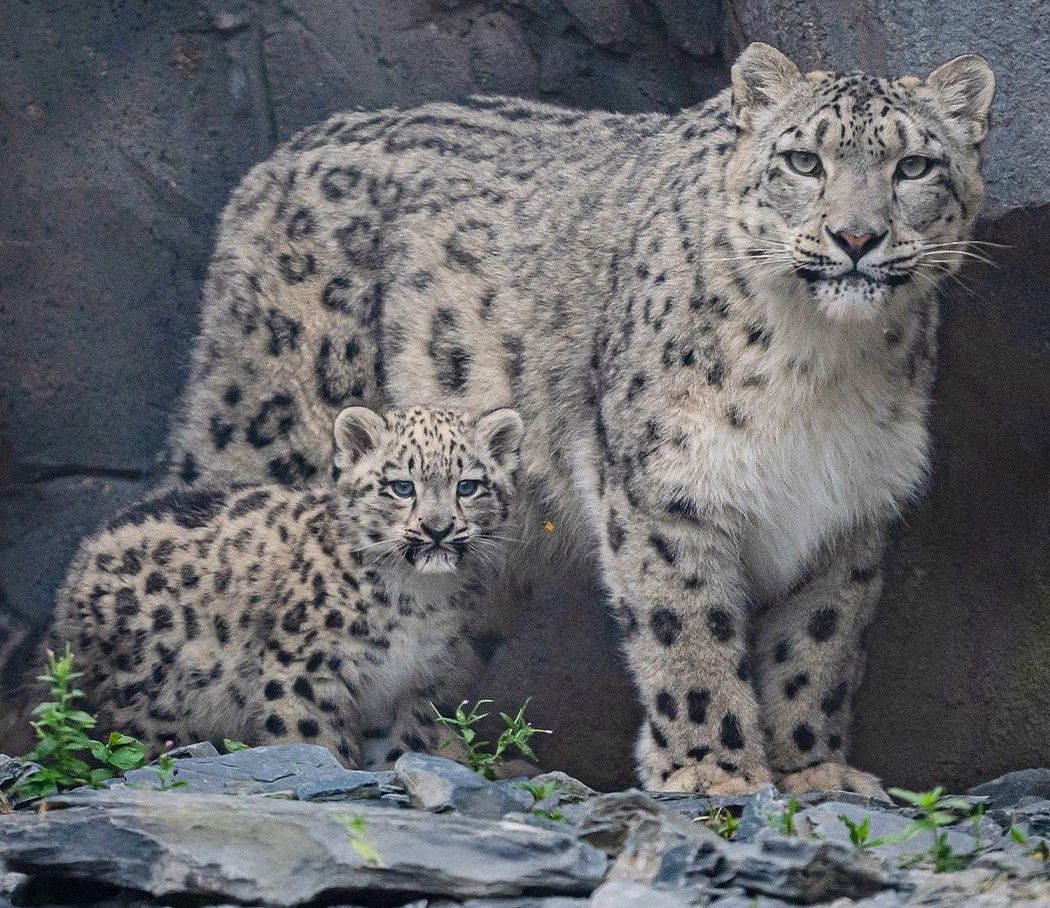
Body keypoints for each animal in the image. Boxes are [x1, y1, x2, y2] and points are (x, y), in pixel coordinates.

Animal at [47, 404, 523, 765]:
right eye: (402, 486)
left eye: (468, 486)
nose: (438, 529)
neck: (419, 599)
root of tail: (76, 569)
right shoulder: (306, 670)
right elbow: (312, 741)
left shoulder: (414, 684)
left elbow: (401, 747)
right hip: (148, 703)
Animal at [164, 42, 995, 795]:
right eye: (802, 161)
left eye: (913, 167)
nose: (857, 237)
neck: (820, 362)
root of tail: (273, 164)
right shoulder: (666, 486)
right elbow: (687, 631)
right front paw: (713, 771)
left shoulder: (851, 503)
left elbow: (818, 646)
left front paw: (812, 770)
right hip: (280, 431)